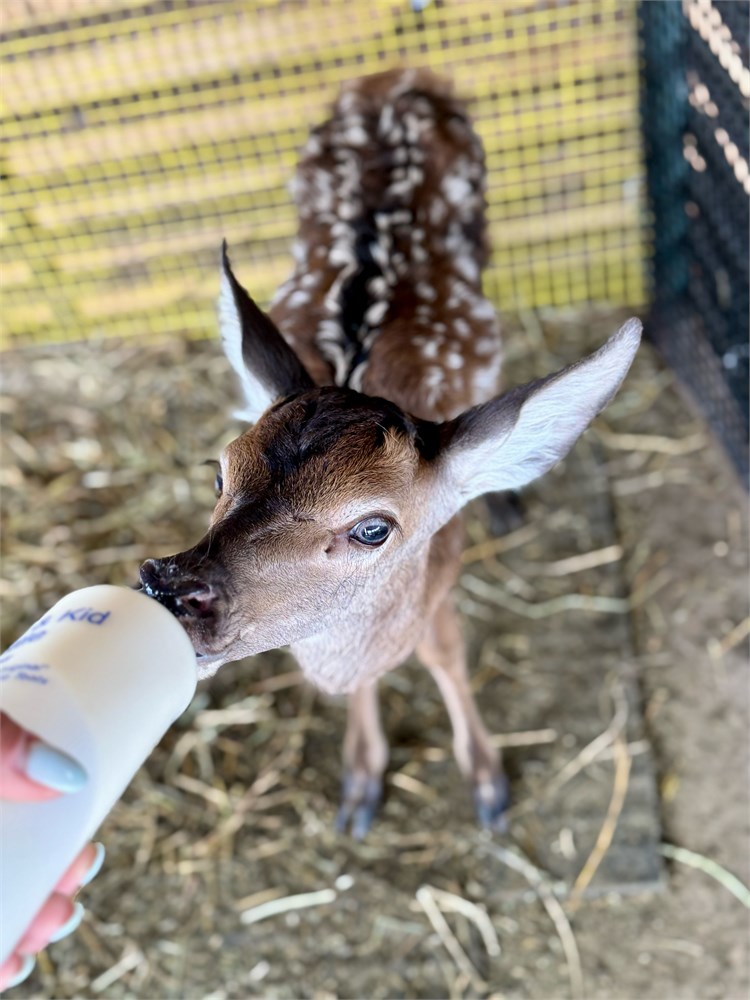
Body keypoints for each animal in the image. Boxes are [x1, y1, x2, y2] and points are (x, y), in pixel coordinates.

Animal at [139, 69, 641, 838]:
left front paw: (488, 784)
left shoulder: (441, 563)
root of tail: (398, 77)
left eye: (373, 527)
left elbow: (445, 650)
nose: (169, 585)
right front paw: (359, 781)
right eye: (217, 472)